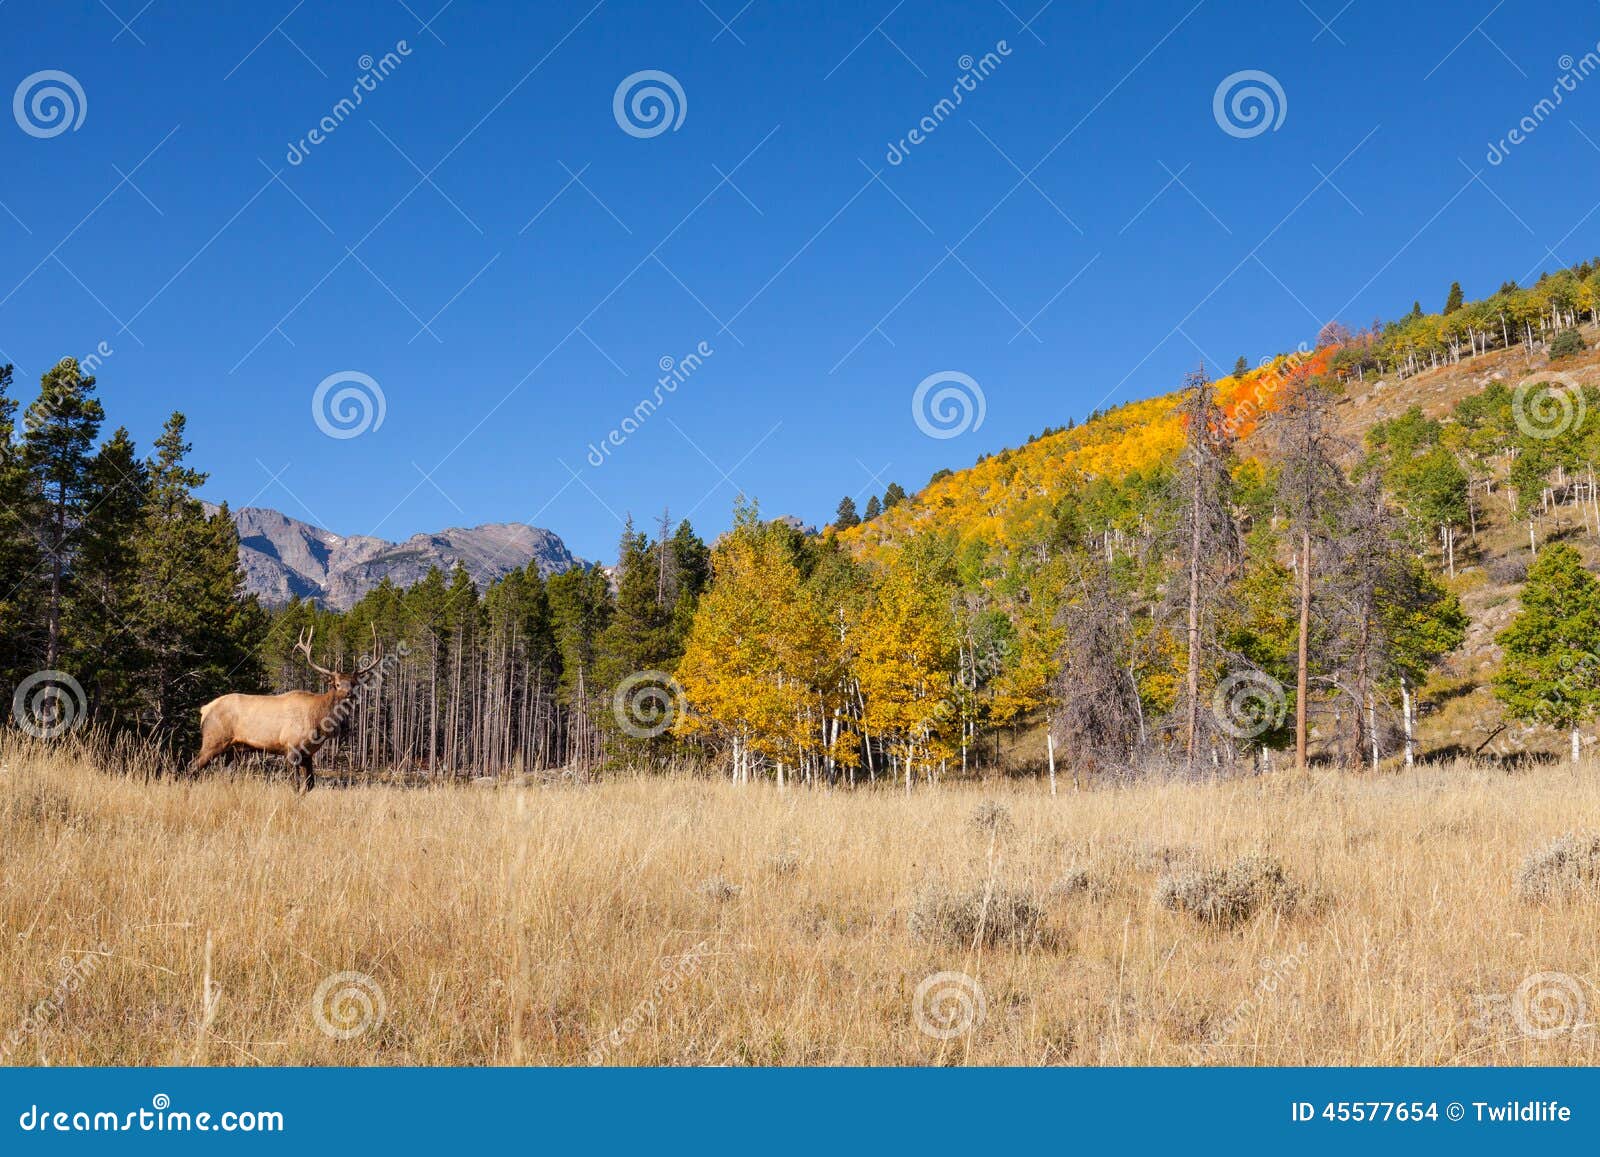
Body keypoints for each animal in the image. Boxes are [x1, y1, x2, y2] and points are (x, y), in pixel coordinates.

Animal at [191, 626, 381, 793]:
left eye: (354, 683)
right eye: (336, 684)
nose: (349, 694)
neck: (318, 722)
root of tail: (205, 709)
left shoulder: (308, 754)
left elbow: (310, 785)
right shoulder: (291, 748)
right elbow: (295, 785)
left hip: (233, 749)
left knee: (225, 775)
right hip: (213, 739)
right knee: (193, 766)